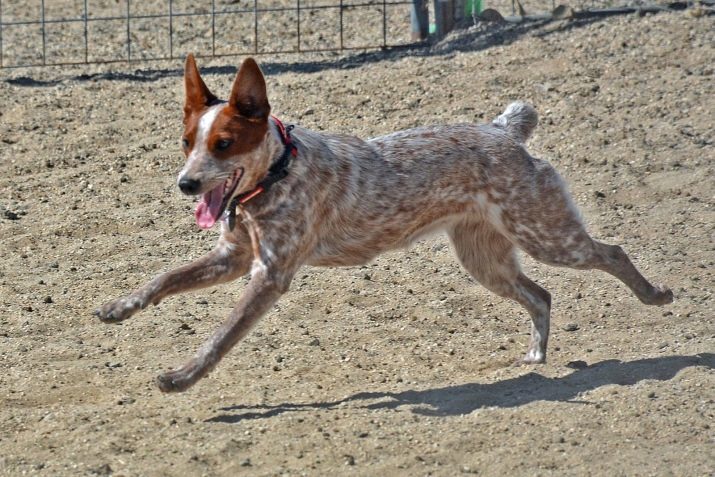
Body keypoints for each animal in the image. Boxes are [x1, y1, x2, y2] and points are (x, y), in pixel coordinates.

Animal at [93, 54, 672, 390]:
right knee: (541, 295)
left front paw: (183, 376)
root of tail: (503, 130)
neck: (274, 177)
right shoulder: (231, 258)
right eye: (186, 142)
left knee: (611, 252)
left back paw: (655, 295)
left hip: (546, 234)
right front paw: (120, 307)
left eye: (224, 143)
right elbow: (164, 279)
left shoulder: (268, 274)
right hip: (485, 259)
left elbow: (220, 335)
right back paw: (535, 353)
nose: (186, 184)